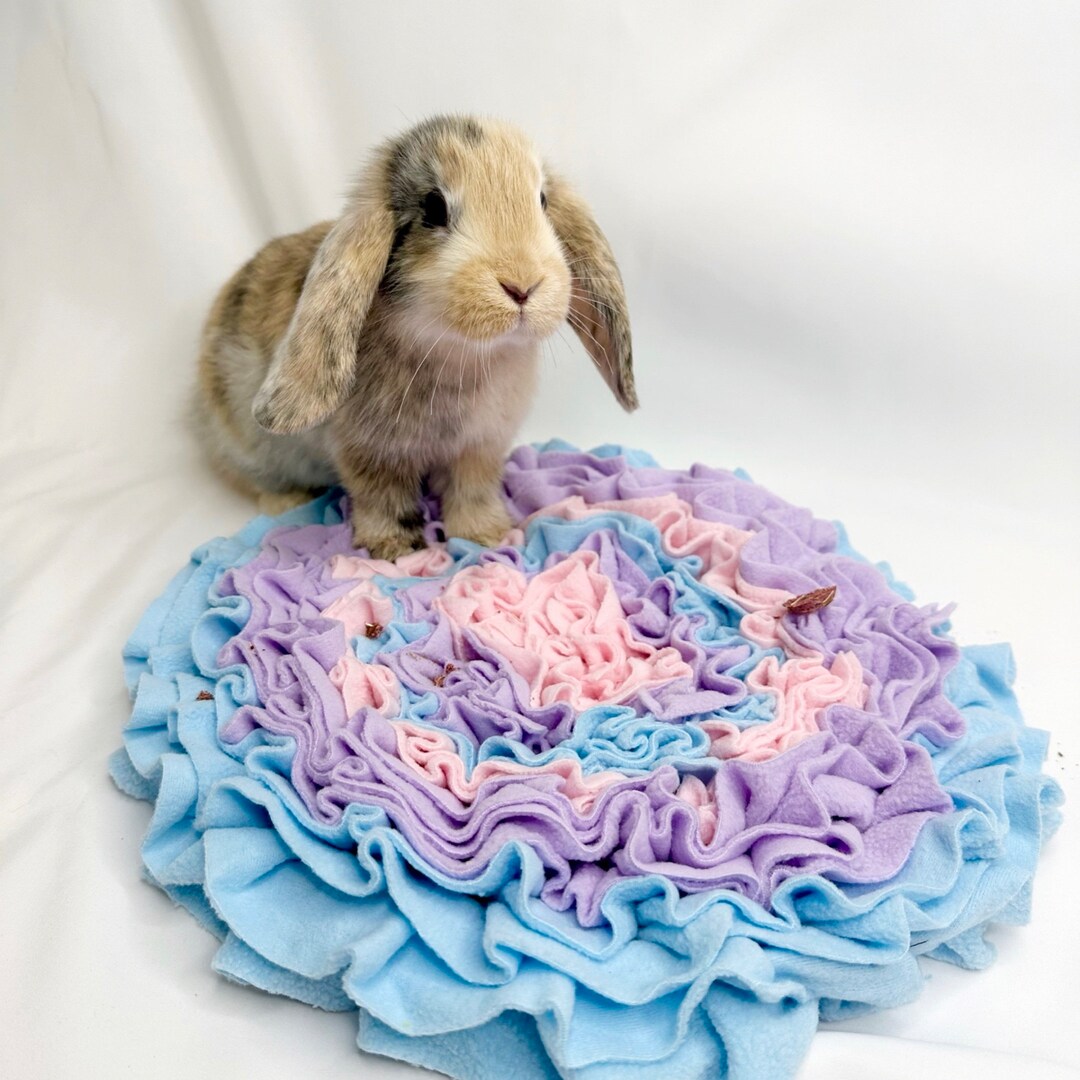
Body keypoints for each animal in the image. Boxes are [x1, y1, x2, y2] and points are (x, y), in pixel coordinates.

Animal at [194, 114, 635, 560]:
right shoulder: (371, 452)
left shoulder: (479, 449)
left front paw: (484, 535)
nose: (522, 285)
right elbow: (383, 499)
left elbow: (472, 492)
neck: (462, 352)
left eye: (542, 201)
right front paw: (395, 549)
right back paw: (289, 500)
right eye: (434, 207)